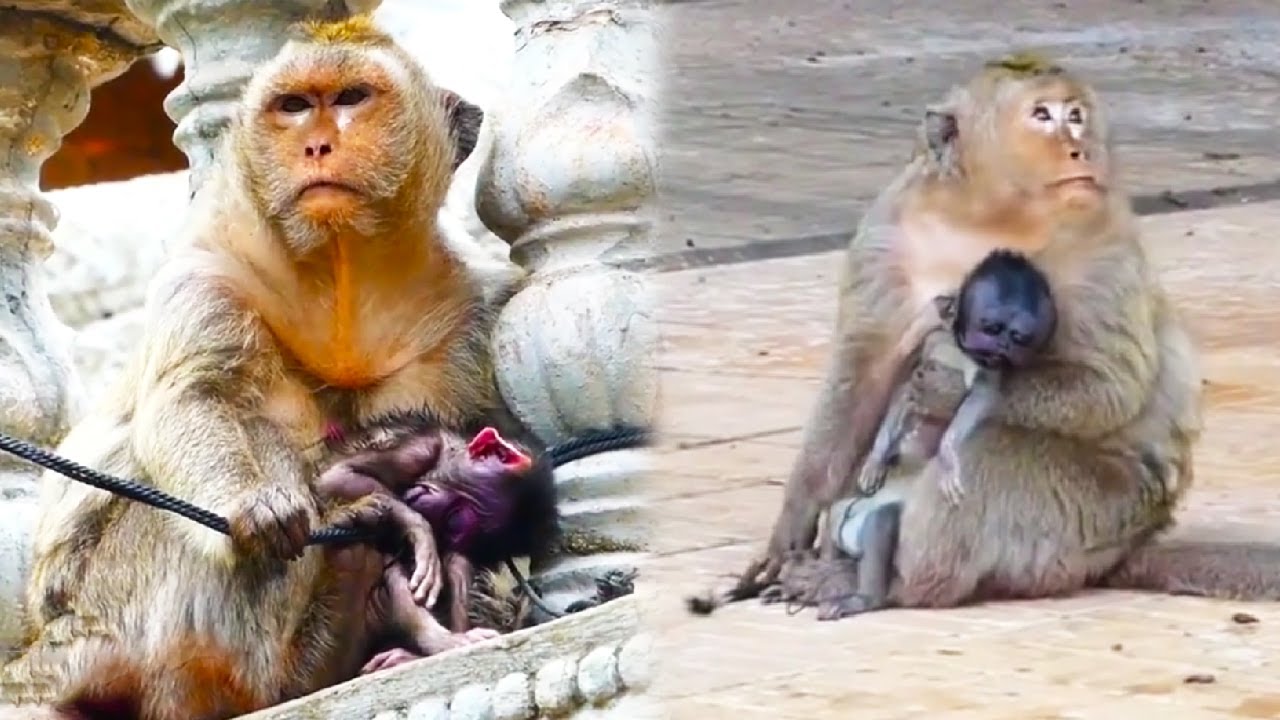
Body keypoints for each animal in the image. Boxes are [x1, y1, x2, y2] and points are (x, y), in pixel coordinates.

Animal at [1, 15, 549, 720]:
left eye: (350, 98)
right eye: (293, 106)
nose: (316, 145)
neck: (341, 280)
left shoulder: (471, 305)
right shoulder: (209, 274)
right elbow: (194, 398)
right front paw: (264, 505)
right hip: (118, 616)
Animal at [723, 53, 1223, 614]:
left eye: (1076, 115)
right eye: (1043, 115)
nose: (1081, 147)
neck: (991, 216)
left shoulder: (1102, 240)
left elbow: (1108, 387)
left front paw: (943, 391)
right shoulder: (887, 236)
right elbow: (864, 375)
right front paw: (795, 520)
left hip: (1104, 512)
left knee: (987, 453)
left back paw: (890, 584)